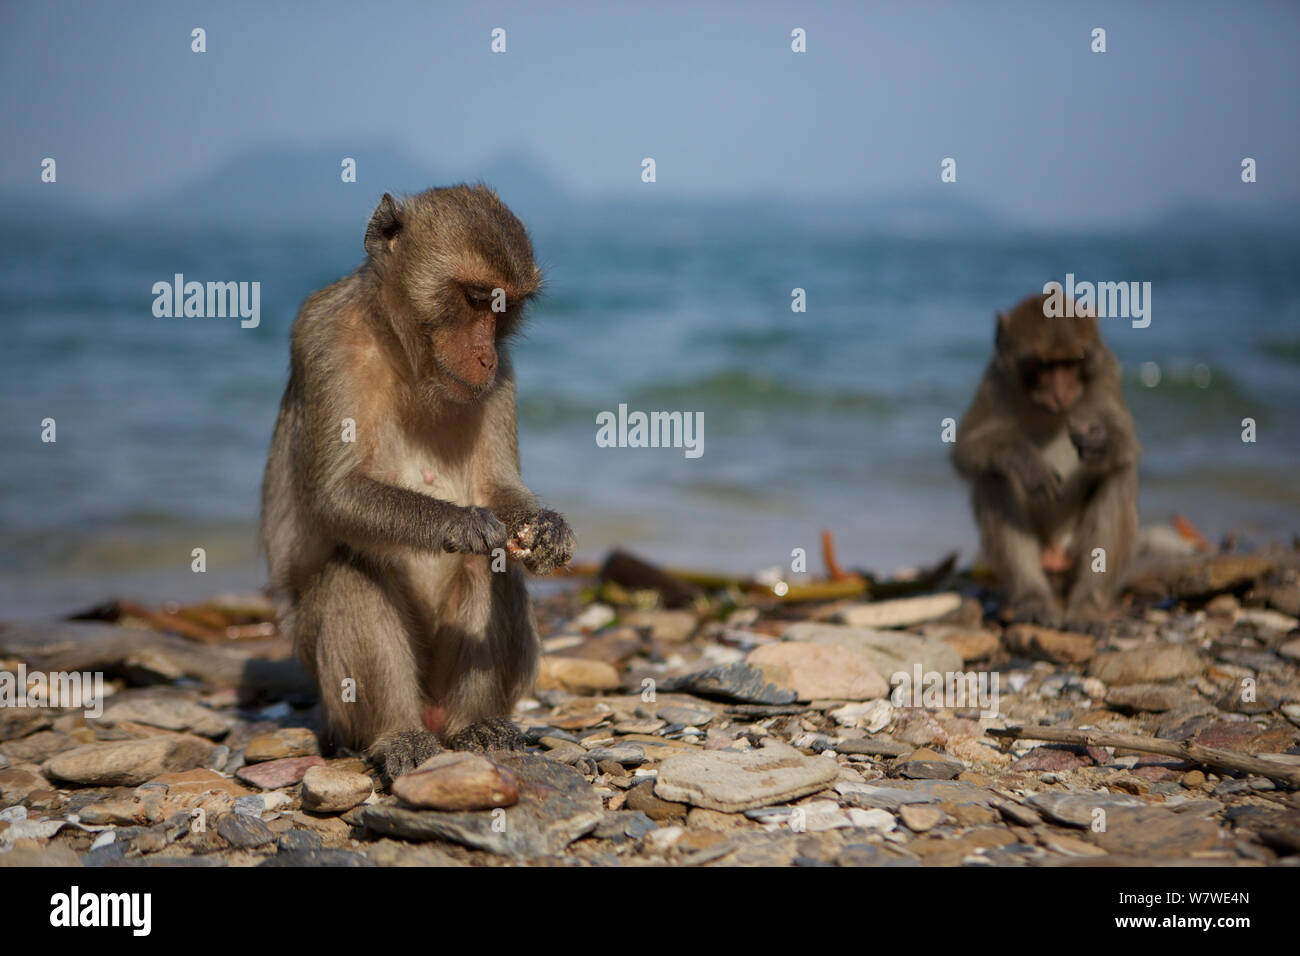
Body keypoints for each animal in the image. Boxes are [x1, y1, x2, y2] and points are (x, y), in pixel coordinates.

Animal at [260, 185, 575, 784]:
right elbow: (333, 496)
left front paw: (545, 529)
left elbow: (497, 492)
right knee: (352, 572)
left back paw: (475, 725)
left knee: (487, 568)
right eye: (475, 299)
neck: (406, 359)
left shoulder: (504, 377)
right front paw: (461, 523)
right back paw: (398, 733)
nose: (486, 355)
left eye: (503, 309)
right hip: (335, 701)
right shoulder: (323, 338)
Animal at [952, 292, 1139, 629]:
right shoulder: (995, 381)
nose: (1059, 392)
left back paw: (1088, 604)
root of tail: (1055, 552)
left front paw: (1099, 443)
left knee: (1119, 476)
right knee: (993, 478)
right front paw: (1026, 461)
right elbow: (967, 447)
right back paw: (1033, 598)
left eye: (1070, 363)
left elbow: (1126, 443)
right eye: (1044, 366)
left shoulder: (1106, 372)